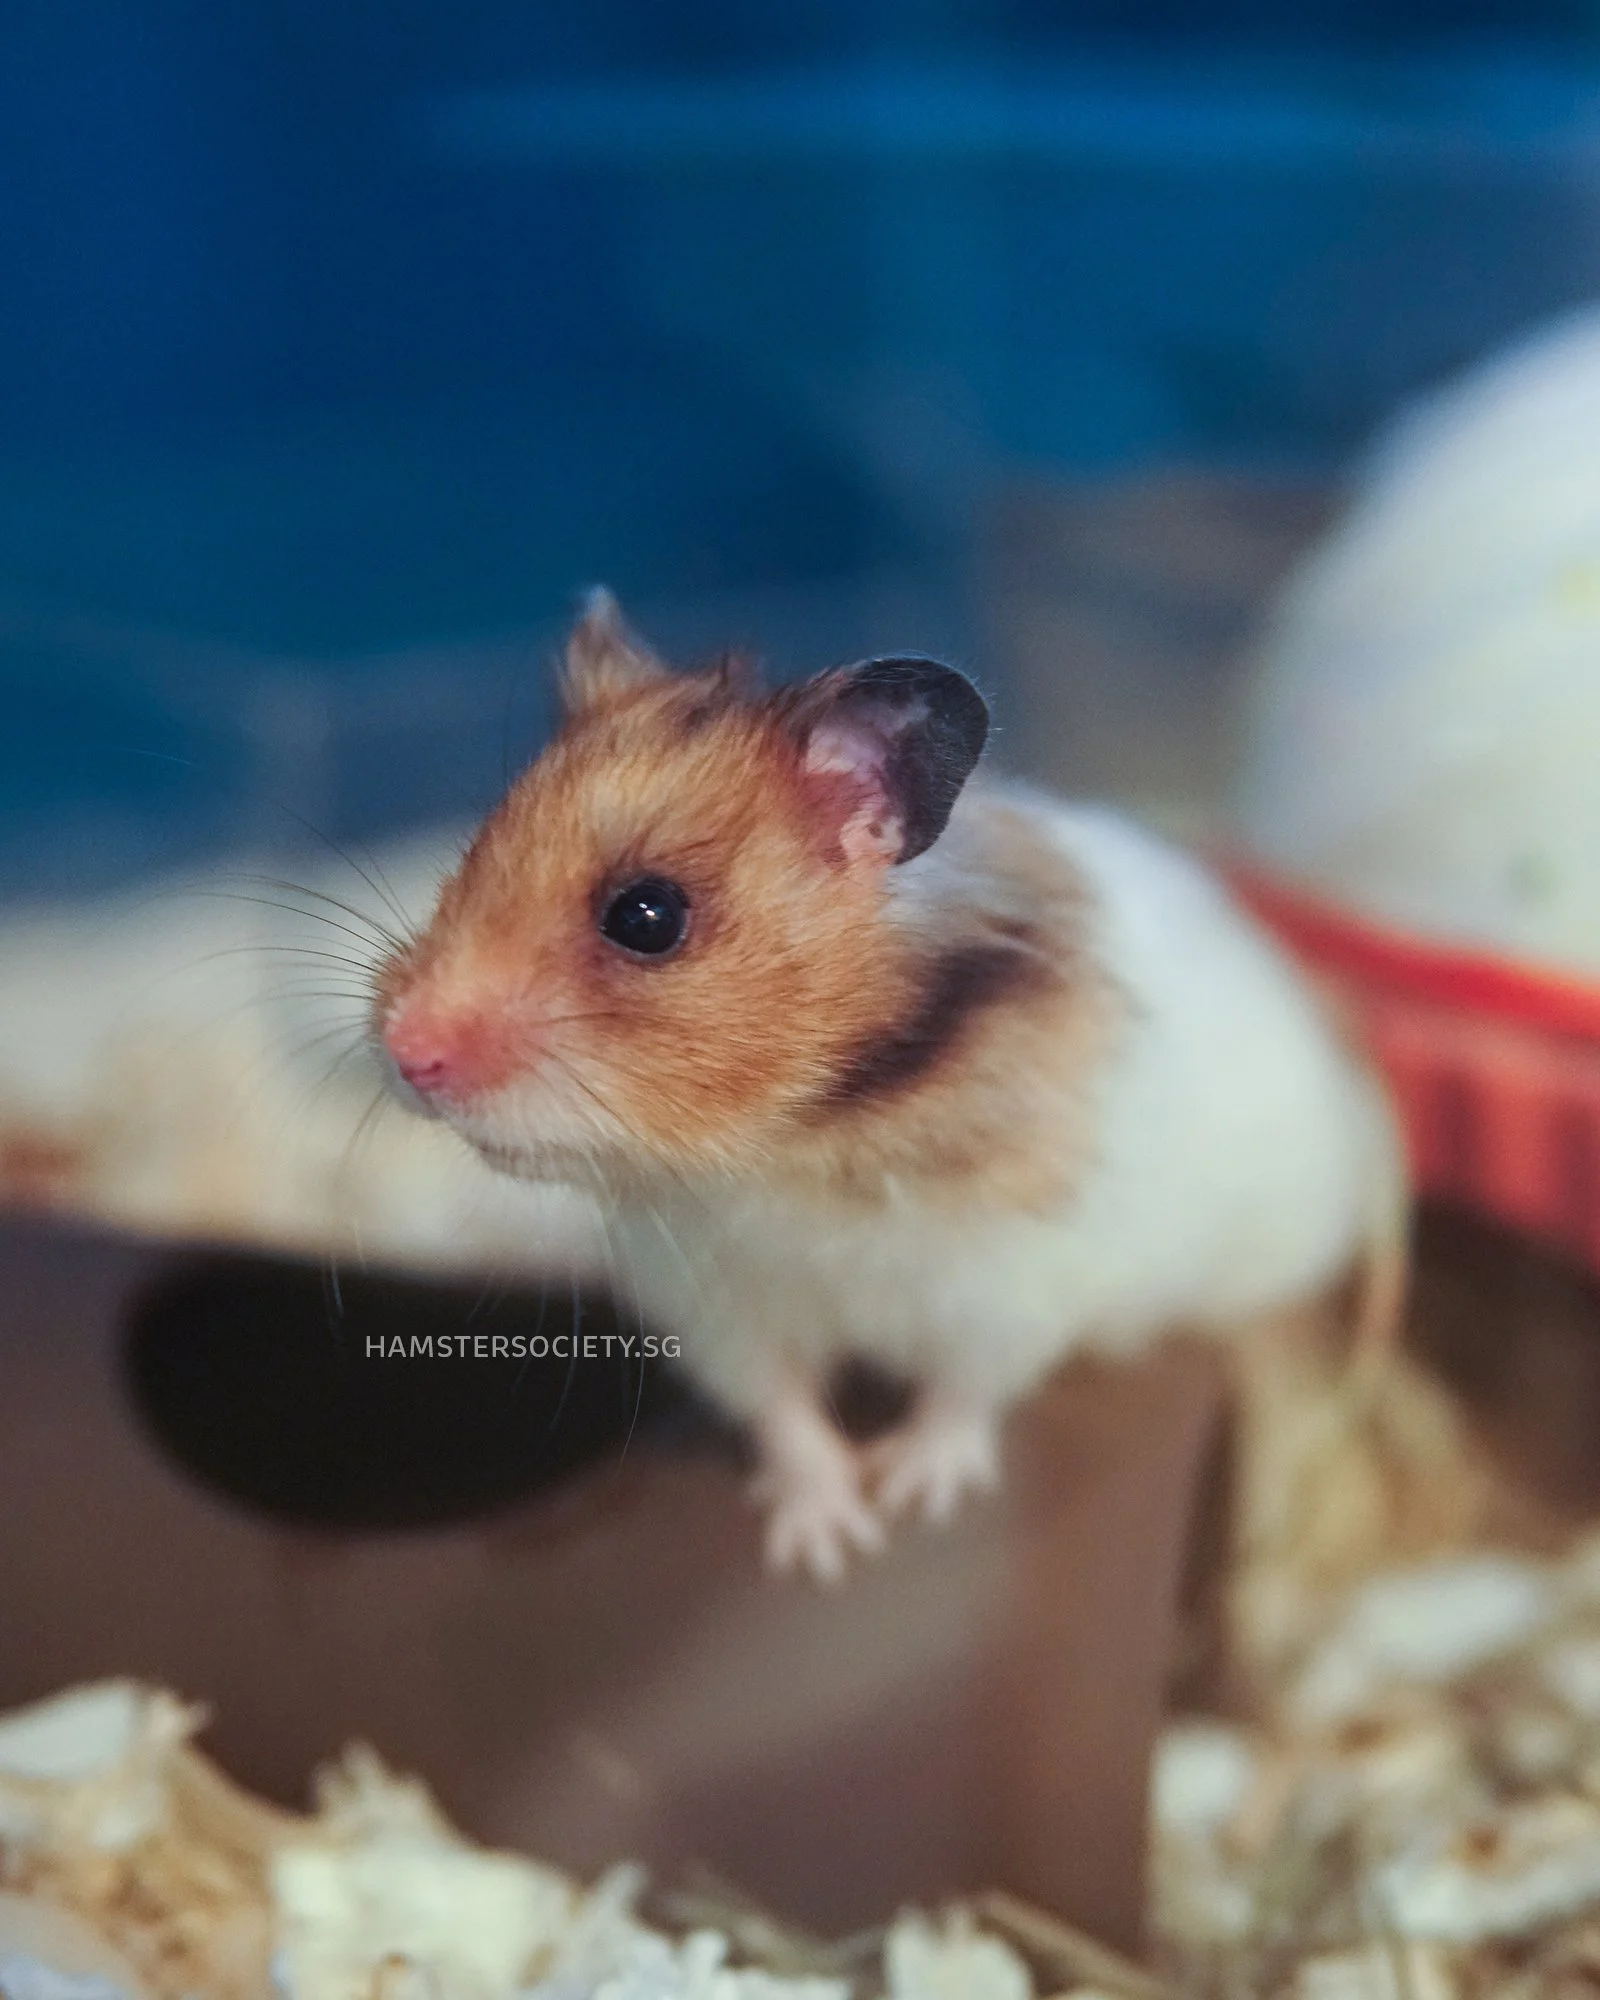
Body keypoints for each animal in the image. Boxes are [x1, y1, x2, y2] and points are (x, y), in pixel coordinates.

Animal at [373, 591, 1405, 1582]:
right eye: (473, 851)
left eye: (647, 916)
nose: (403, 1050)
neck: (793, 1145)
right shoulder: (720, 1309)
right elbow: (784, 1412)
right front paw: (821, 1545)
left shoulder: (1011, 1292)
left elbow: (962, 1395)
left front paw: (912, 1496)